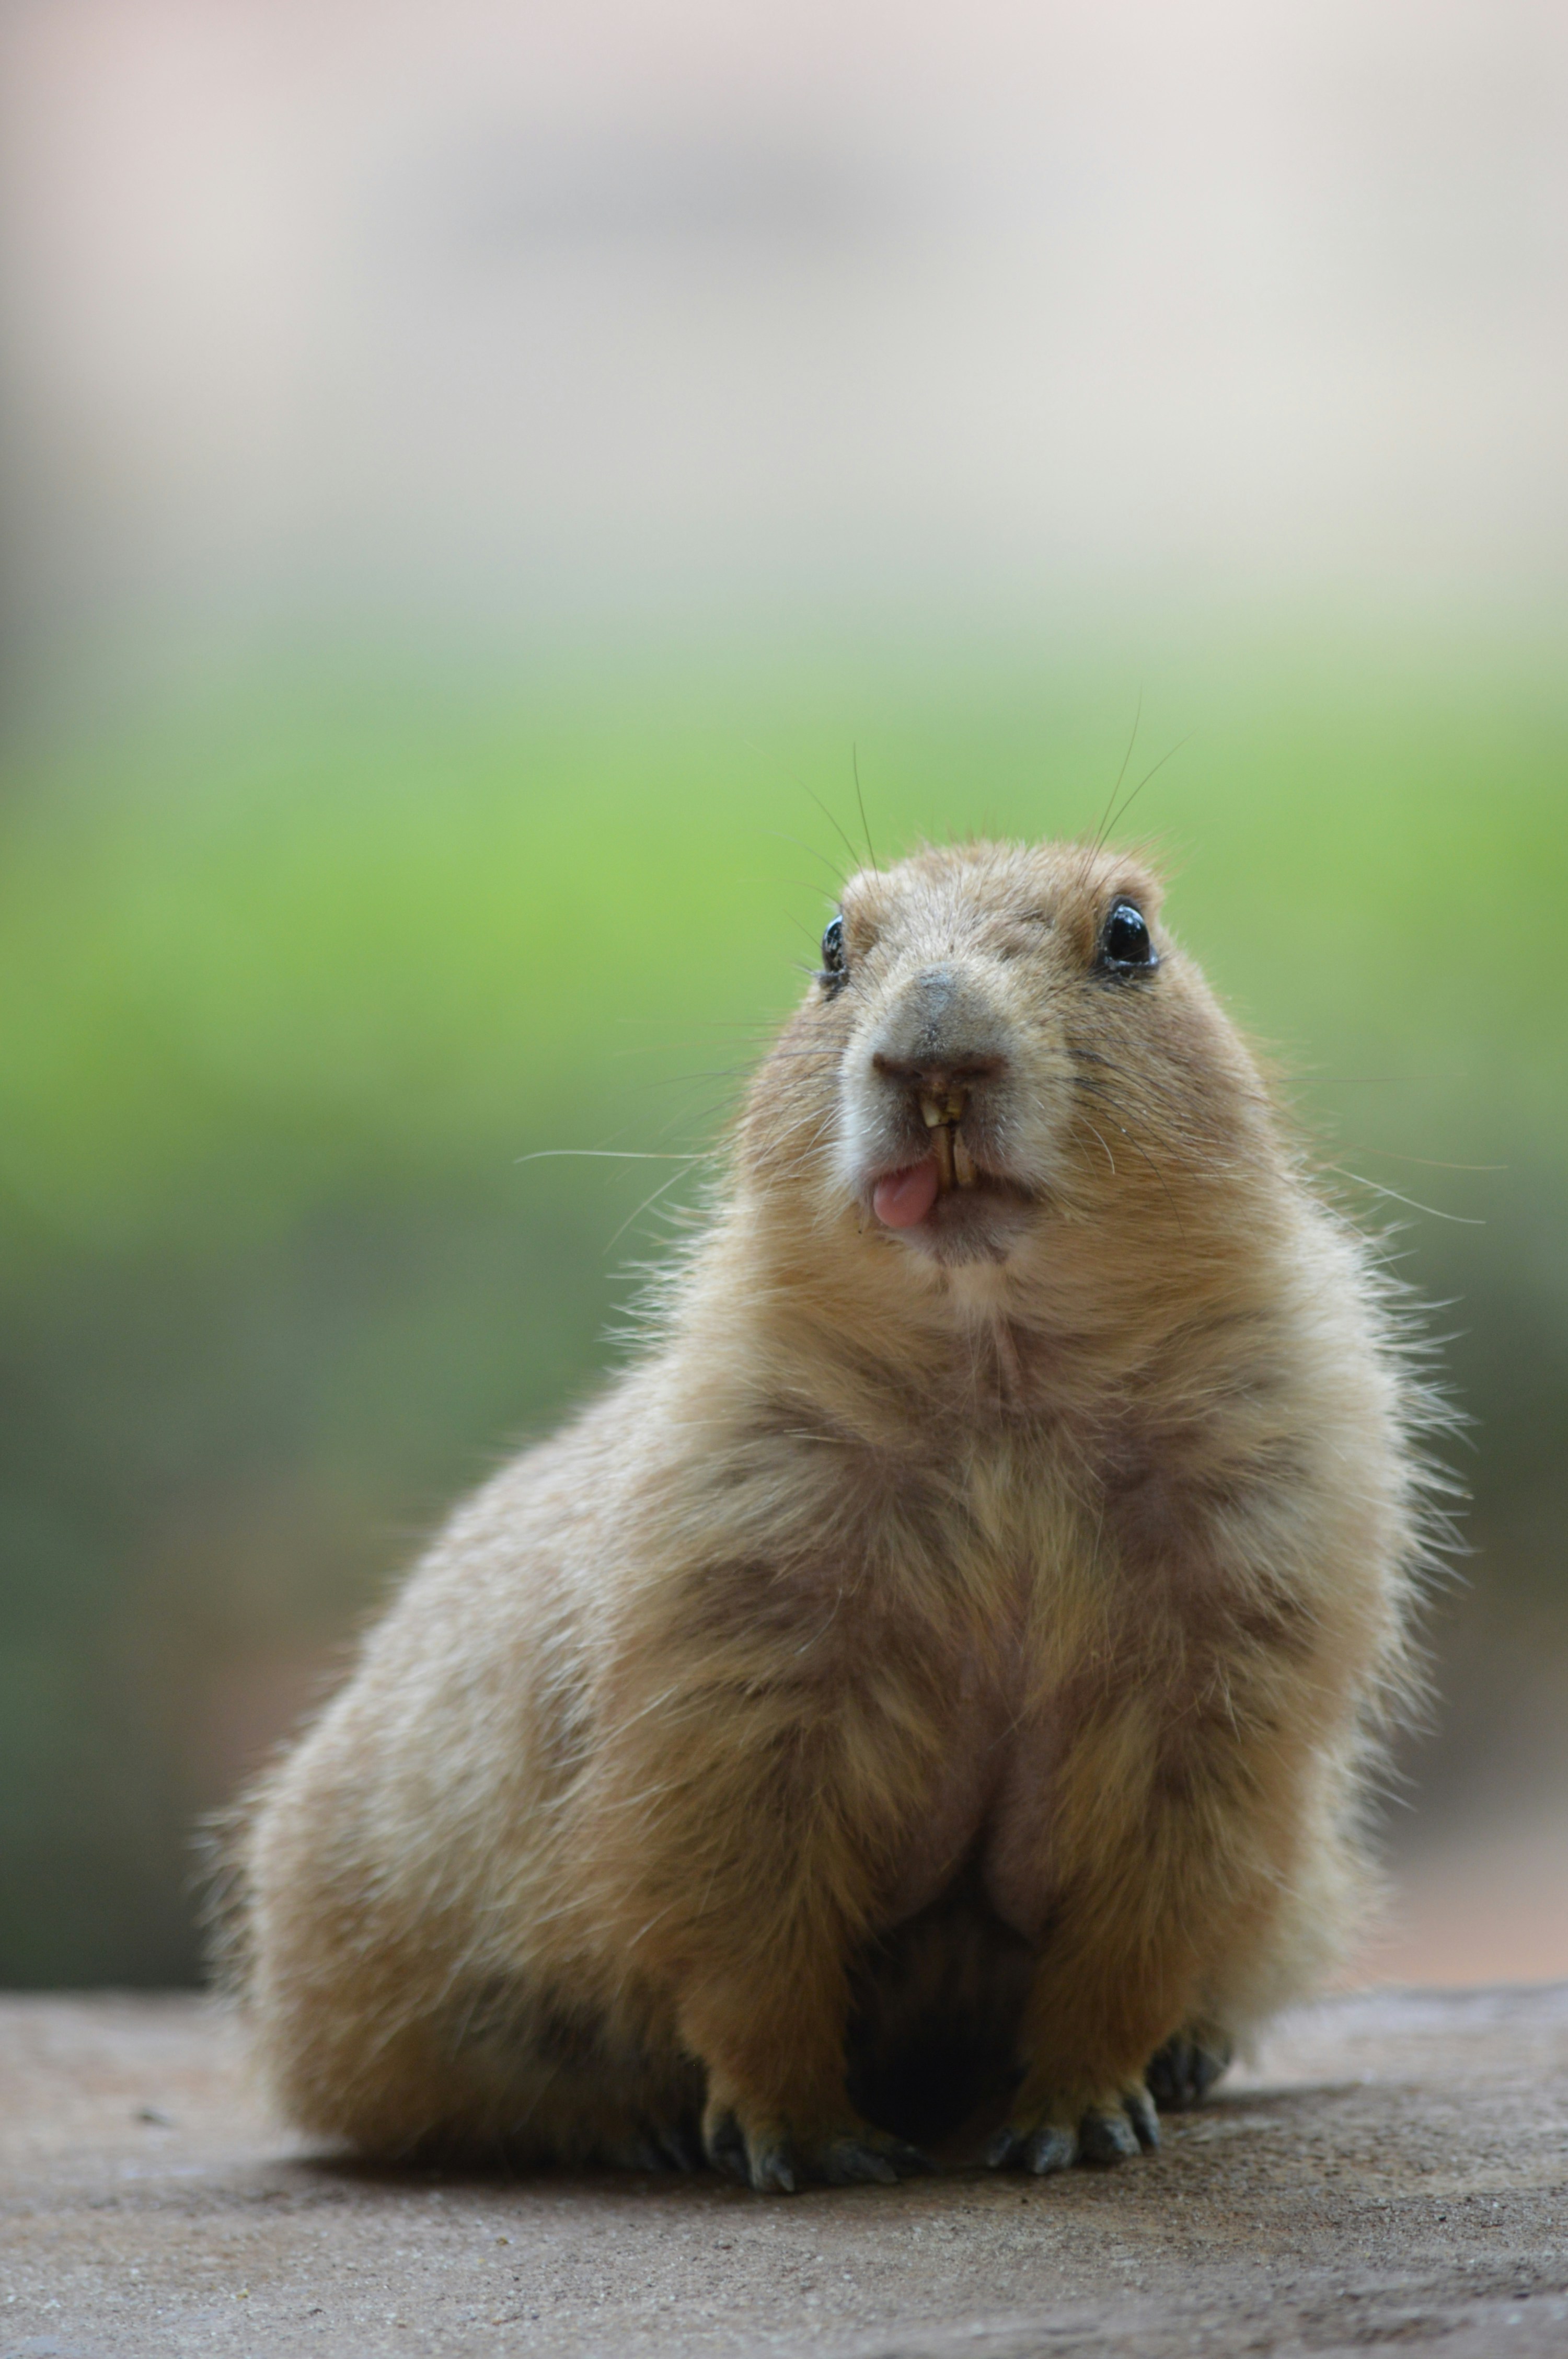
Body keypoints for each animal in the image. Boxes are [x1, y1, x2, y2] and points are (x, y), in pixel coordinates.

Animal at [221, 837, 1442, 2190]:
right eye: (830, 948)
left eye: (1130, 937)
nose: (934, 1051)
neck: (1003, 1378)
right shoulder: (729, 1572)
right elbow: (740, 1887)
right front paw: (808, 2134)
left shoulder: (1260, 1576)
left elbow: (1152, 1894)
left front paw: (1079, 2110)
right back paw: (641, 2122)